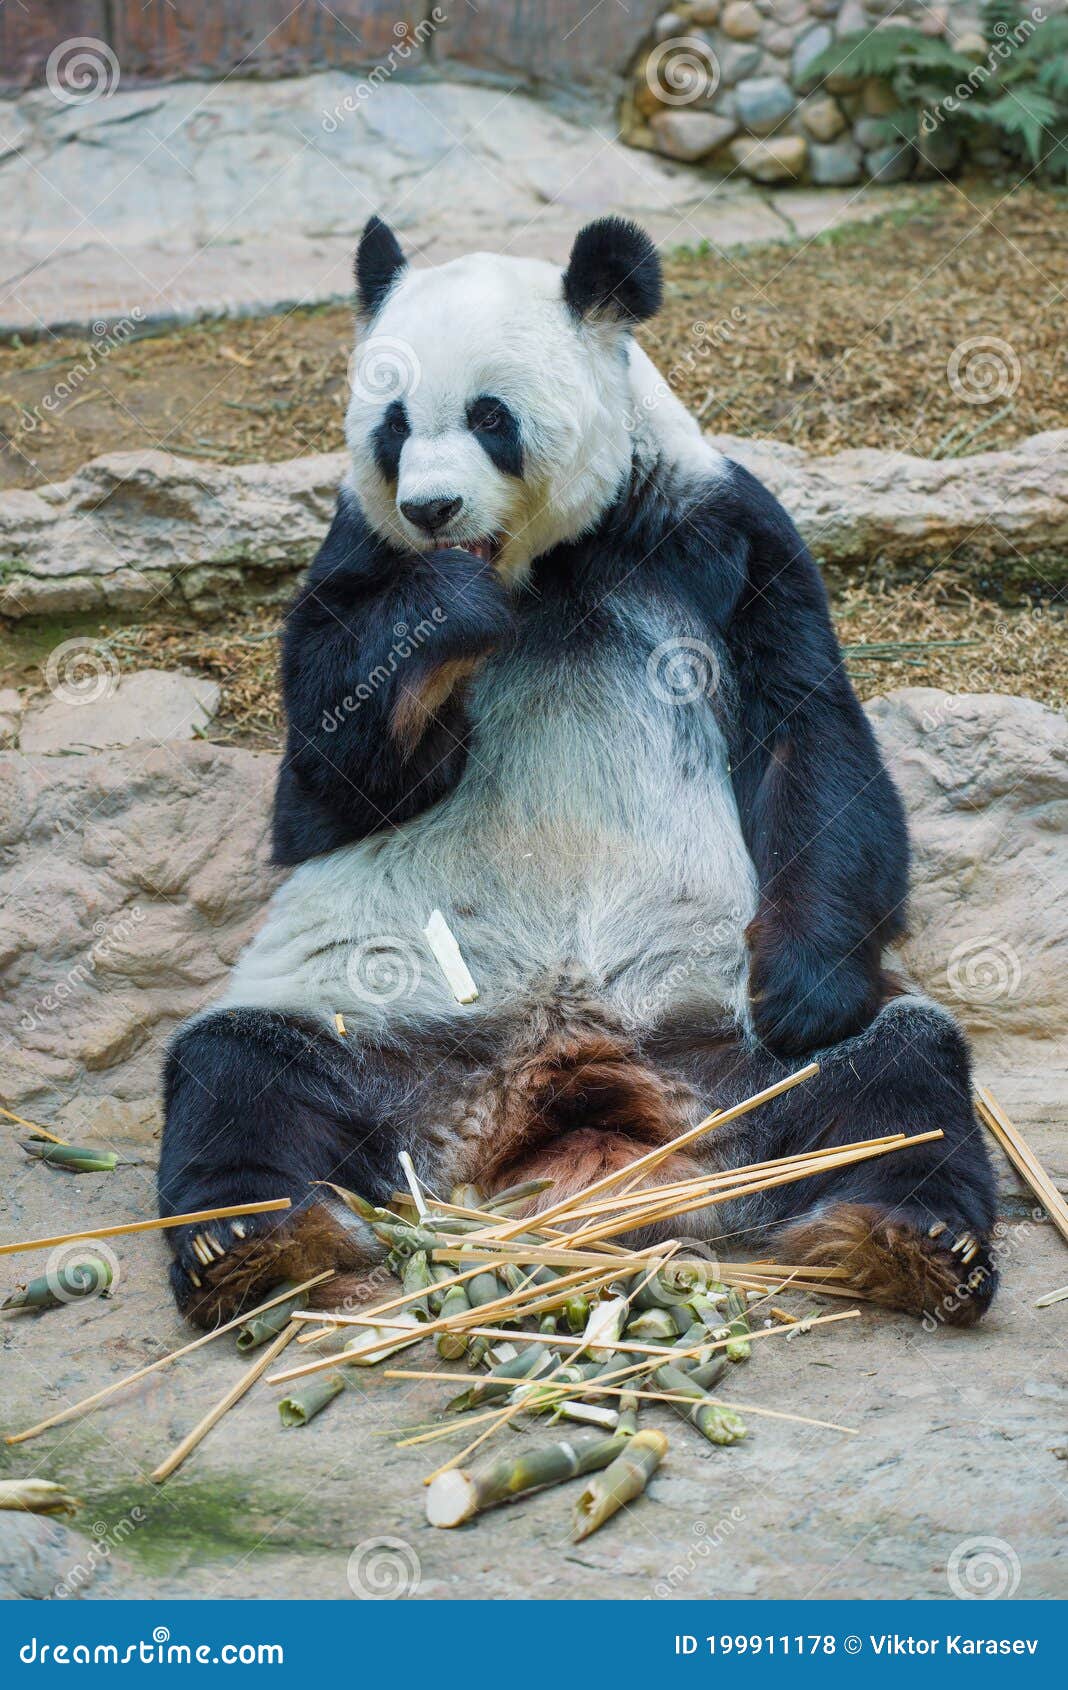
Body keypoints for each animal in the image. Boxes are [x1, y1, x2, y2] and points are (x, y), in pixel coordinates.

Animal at [158, 214, 998, 1329]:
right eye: (392, 425)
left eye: (490, 416)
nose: (431, 507)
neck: (539, 569)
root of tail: (568, 1073)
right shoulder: (354, 553)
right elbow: (319, 793)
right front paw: (445, 612)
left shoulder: (718, 530)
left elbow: (806, 736)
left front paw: (804, 991)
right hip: (375, 1029)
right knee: (243, 1072)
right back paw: (255, 1241)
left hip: (720, 1043)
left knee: (892, 1079)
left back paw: (910, 1238)